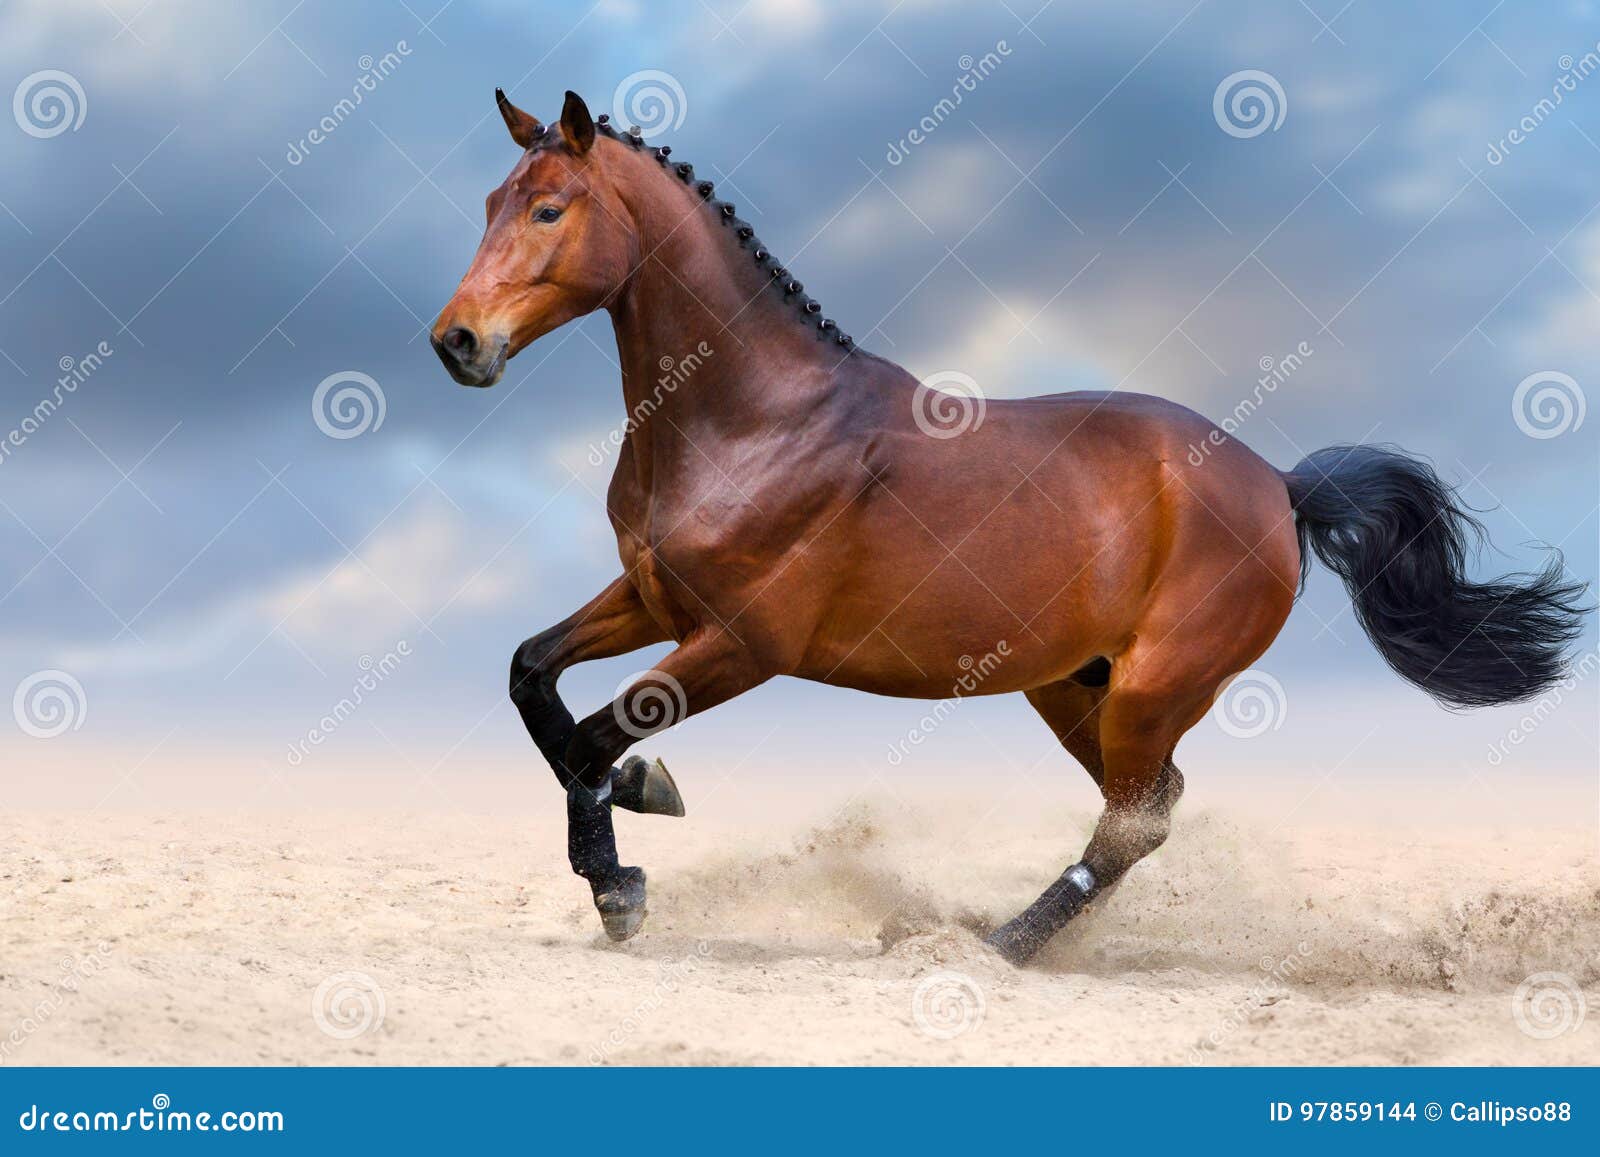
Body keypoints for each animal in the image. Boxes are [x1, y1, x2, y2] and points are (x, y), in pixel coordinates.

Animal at [430, 89, 1588, 964]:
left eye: (550, 209)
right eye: (489, 200)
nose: (457, 342)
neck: (755, 420)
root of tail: (1277, 484)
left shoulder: (742, 644)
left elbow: (594, 733)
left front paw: (622, 877)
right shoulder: (653, 598)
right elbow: (532, 676)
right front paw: (630, 823)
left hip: (1153, 688)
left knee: (1133, 821)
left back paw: (1000, 944)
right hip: (1075, 686)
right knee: (1151, 804)